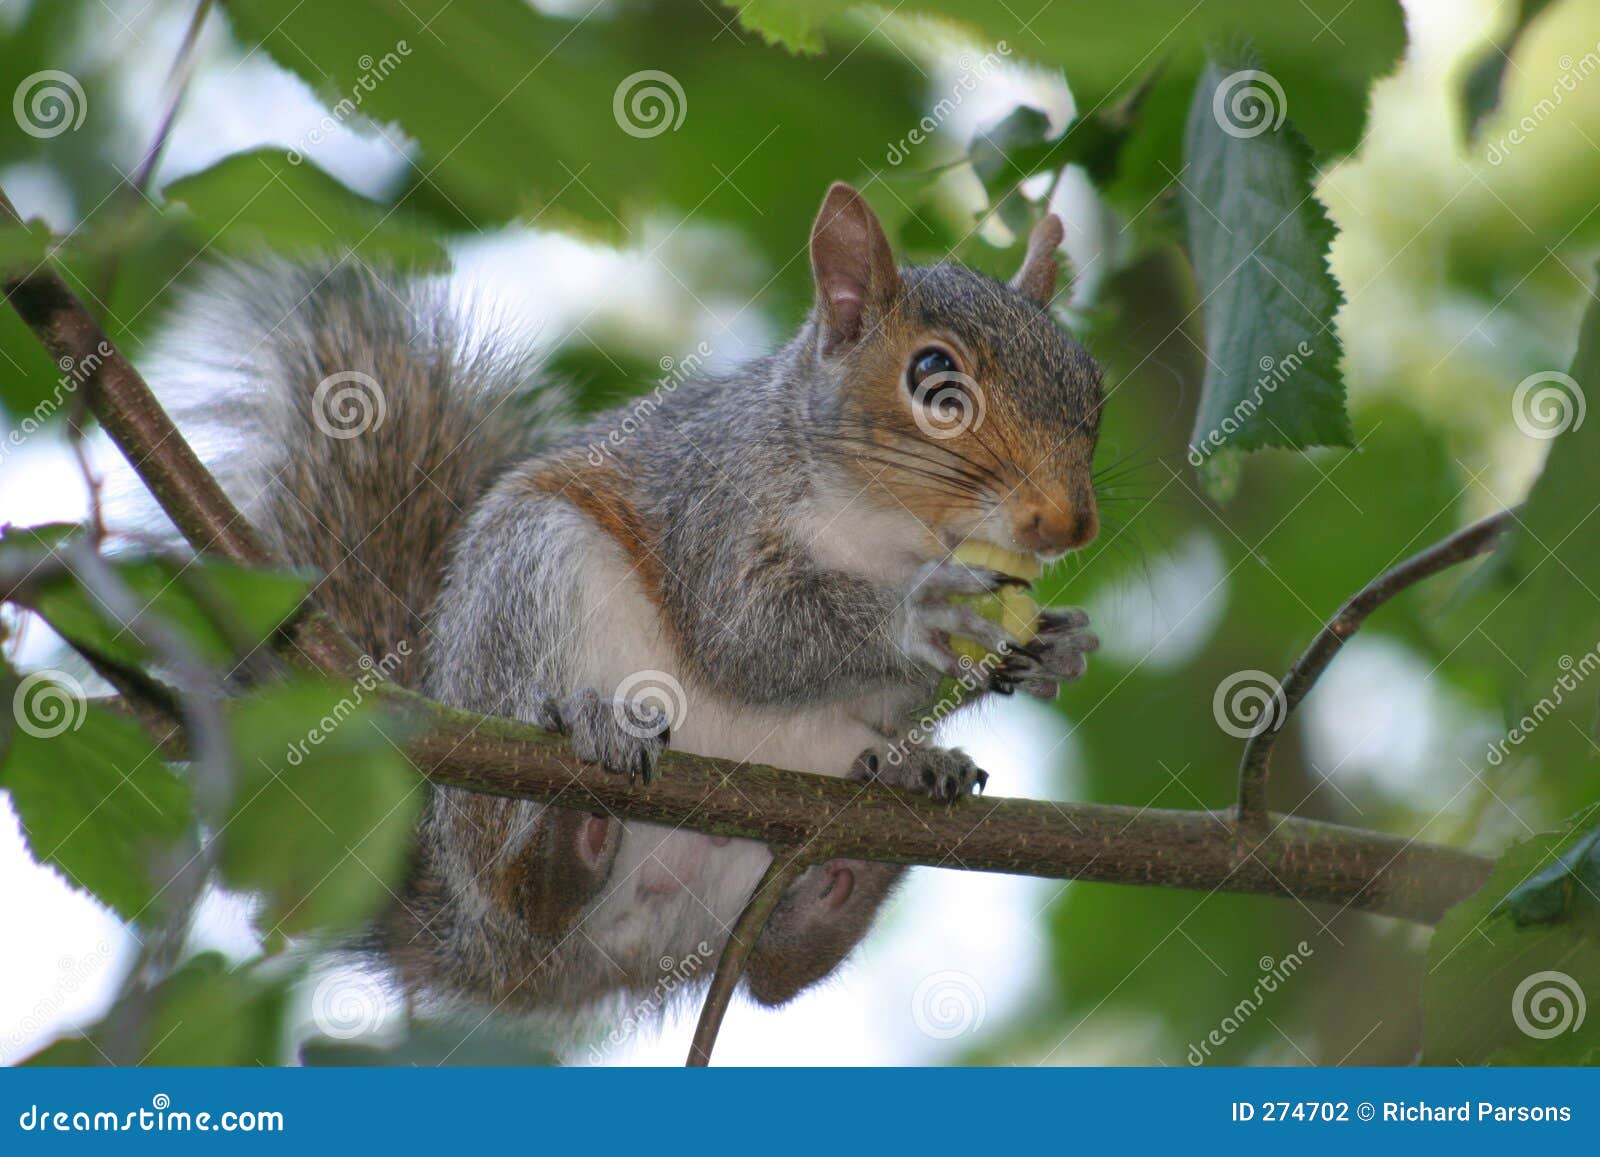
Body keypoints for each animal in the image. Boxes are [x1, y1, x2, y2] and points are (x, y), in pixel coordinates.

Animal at [159, 183, 1103, 1020]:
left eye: (1093, 387)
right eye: (933, 376)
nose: (1069, 523)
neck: (891, 531)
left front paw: (1053, 644)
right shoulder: (715, 506)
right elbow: (746, 636)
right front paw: (922, 613)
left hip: (749, 881)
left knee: (776, 970)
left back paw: (877, 827)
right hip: (528, 582)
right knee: (523, 888)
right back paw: (571, 819)